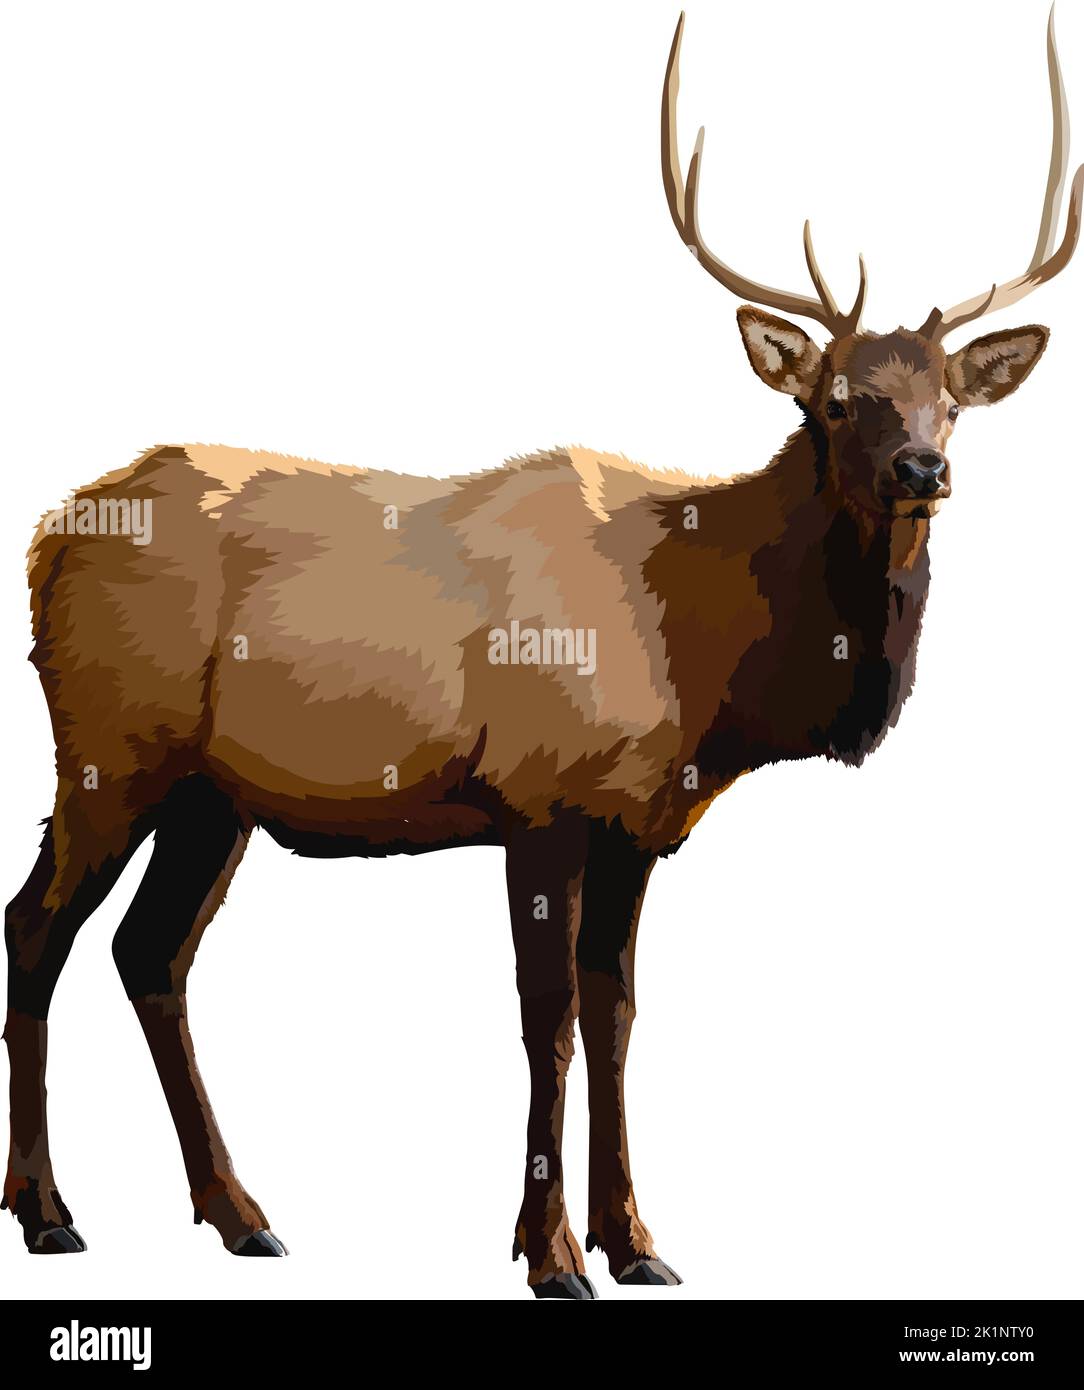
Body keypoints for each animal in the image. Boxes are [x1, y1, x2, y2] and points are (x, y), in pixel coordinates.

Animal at [3, 11, 1081, 1299]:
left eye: (951, 405)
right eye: (831, 399)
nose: (925, 469)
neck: (706, 669)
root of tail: (46, 537)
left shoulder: (640, 820)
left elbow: (616, 1016)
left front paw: (640, 1241)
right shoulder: (541, 796)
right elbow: (546, 1020)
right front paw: (549, 1251)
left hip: (213, 795)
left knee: (148, 952)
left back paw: (240, 1211)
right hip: (109, 746)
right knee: (38, 927)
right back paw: (50, 1212)